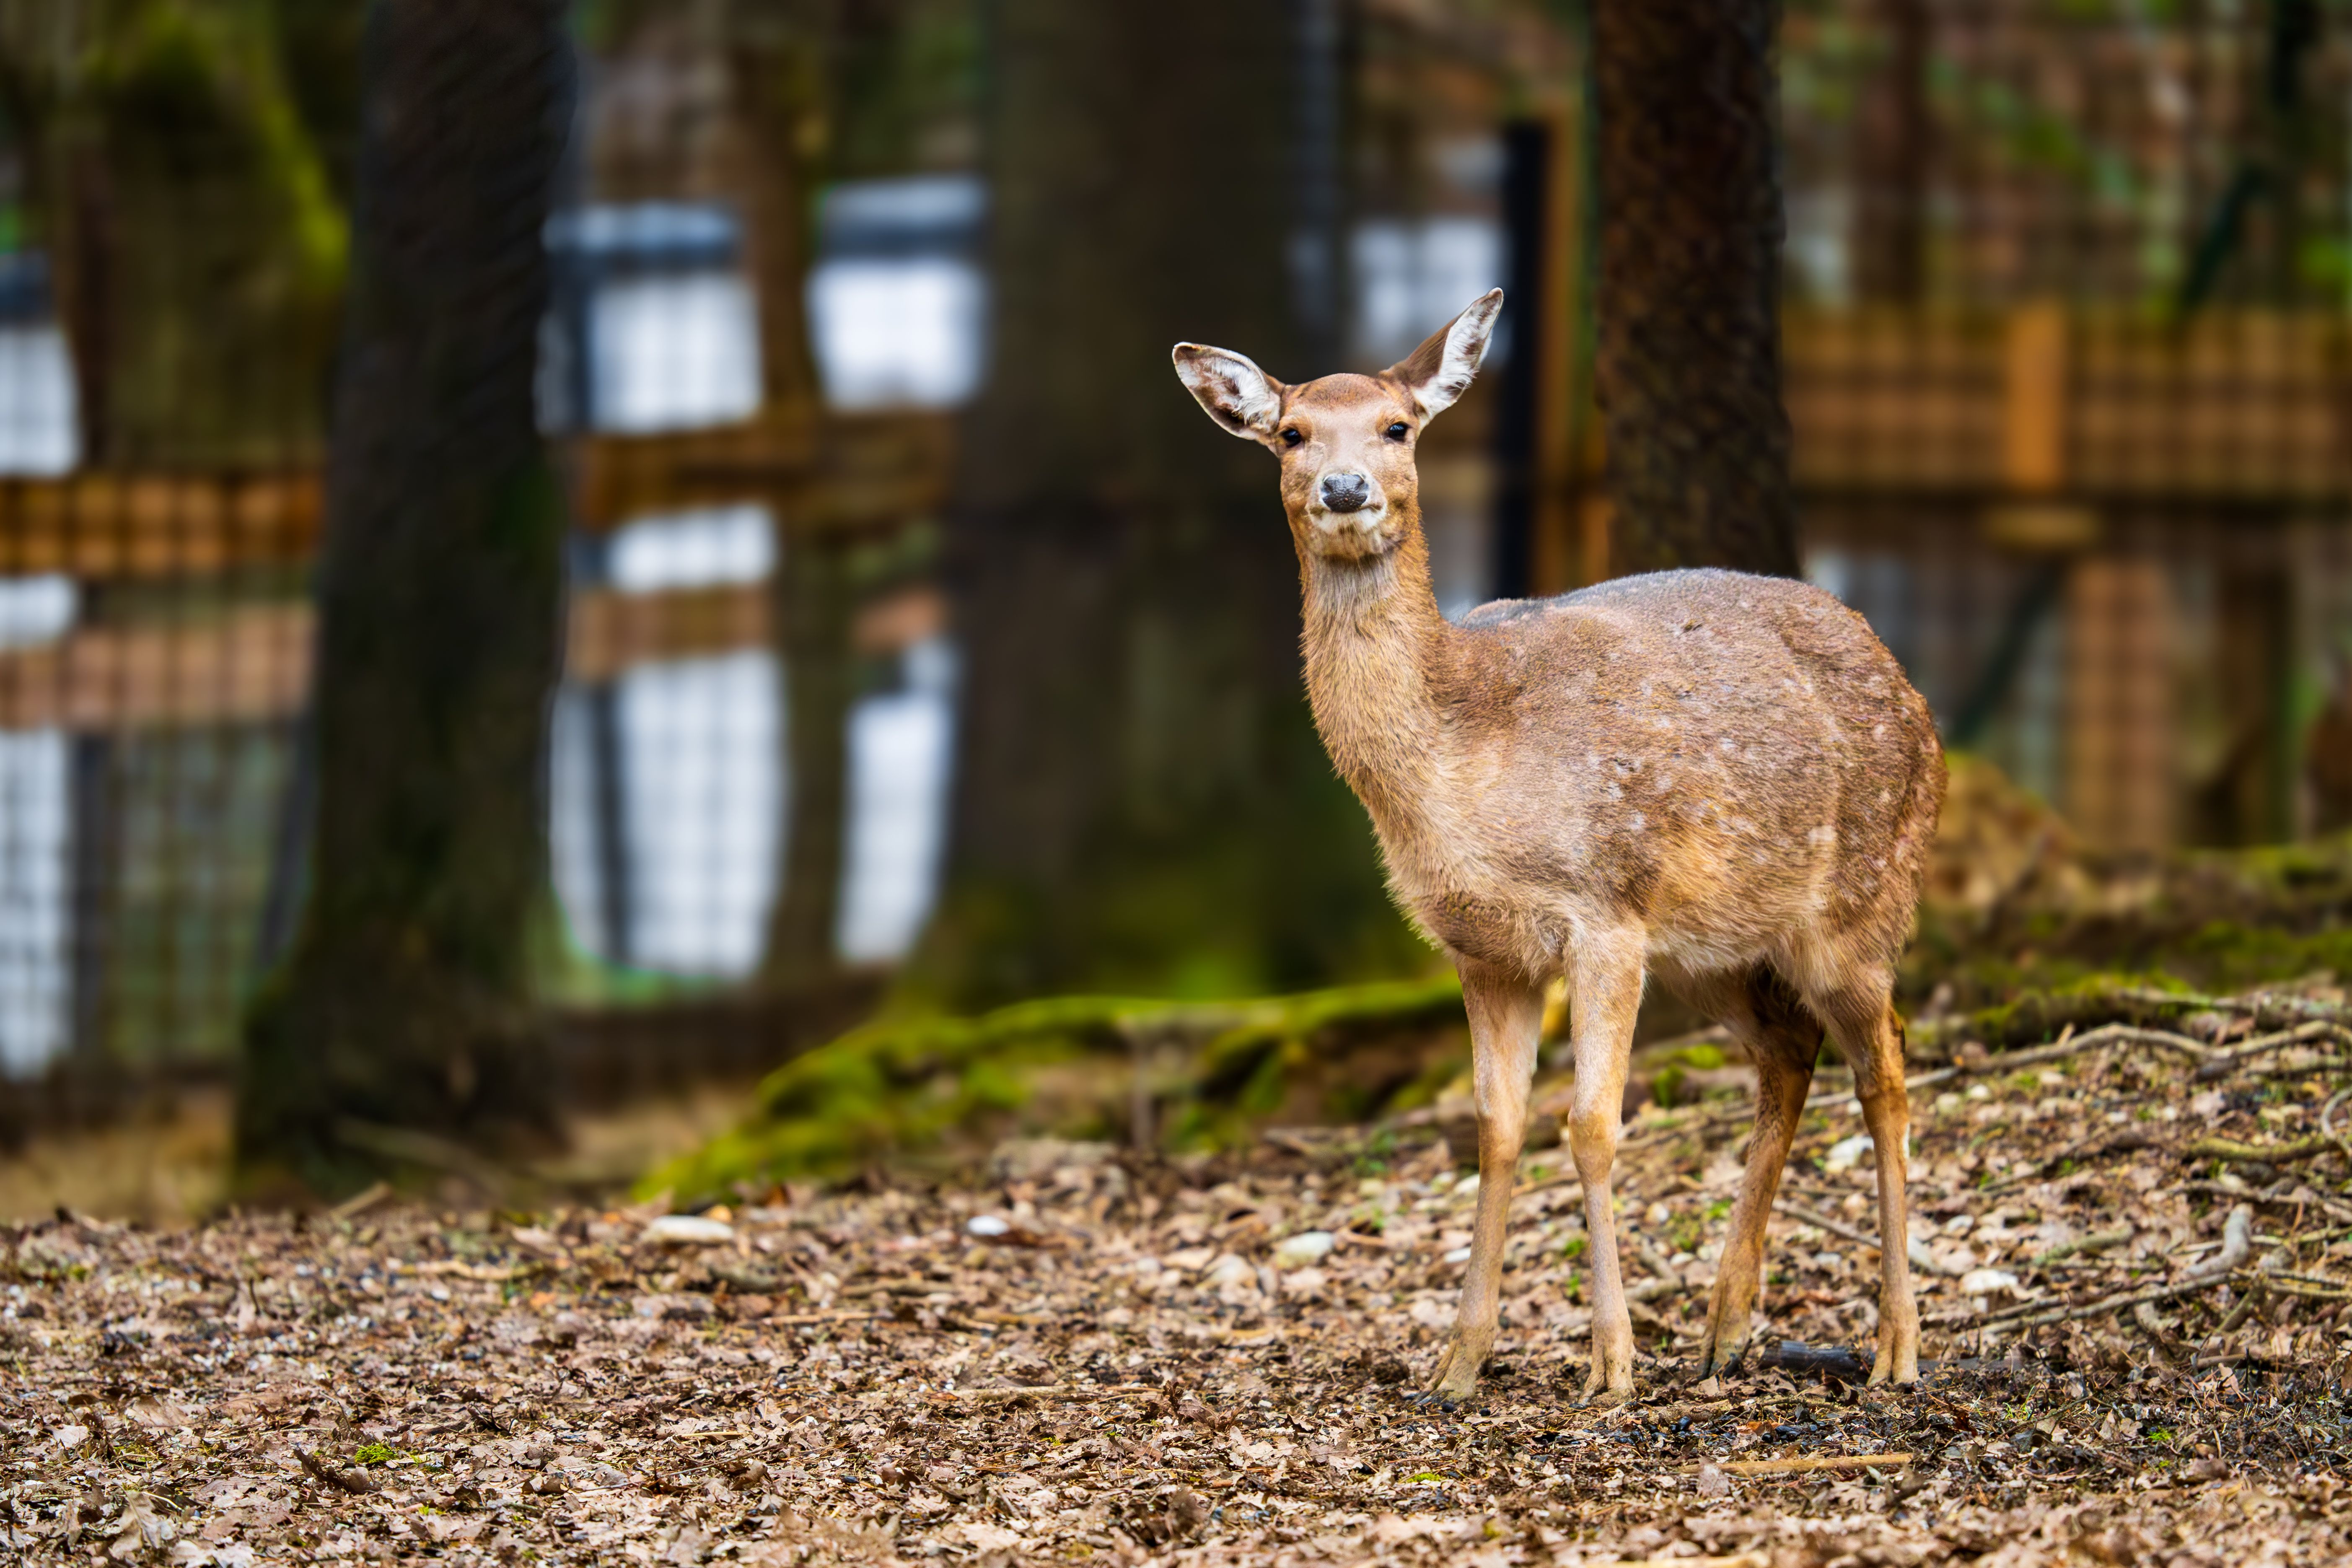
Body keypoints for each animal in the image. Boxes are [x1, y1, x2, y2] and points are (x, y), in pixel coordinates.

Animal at [1172, 290, 1945, 1405]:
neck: (1457, 765)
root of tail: (1914, 692)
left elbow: (1589, 1125)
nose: (1345, 487)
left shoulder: (1601, 910)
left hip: (1860, 899)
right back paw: (1723, 1327)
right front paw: (1456, 1361)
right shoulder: (1482, 948)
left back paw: (1894, 1345)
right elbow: (1495, 1128)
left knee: (1885, 1069)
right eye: (1291, 432)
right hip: (1712, 947)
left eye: (1397, 426)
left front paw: (1610, 1364)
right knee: (1788, 1052)